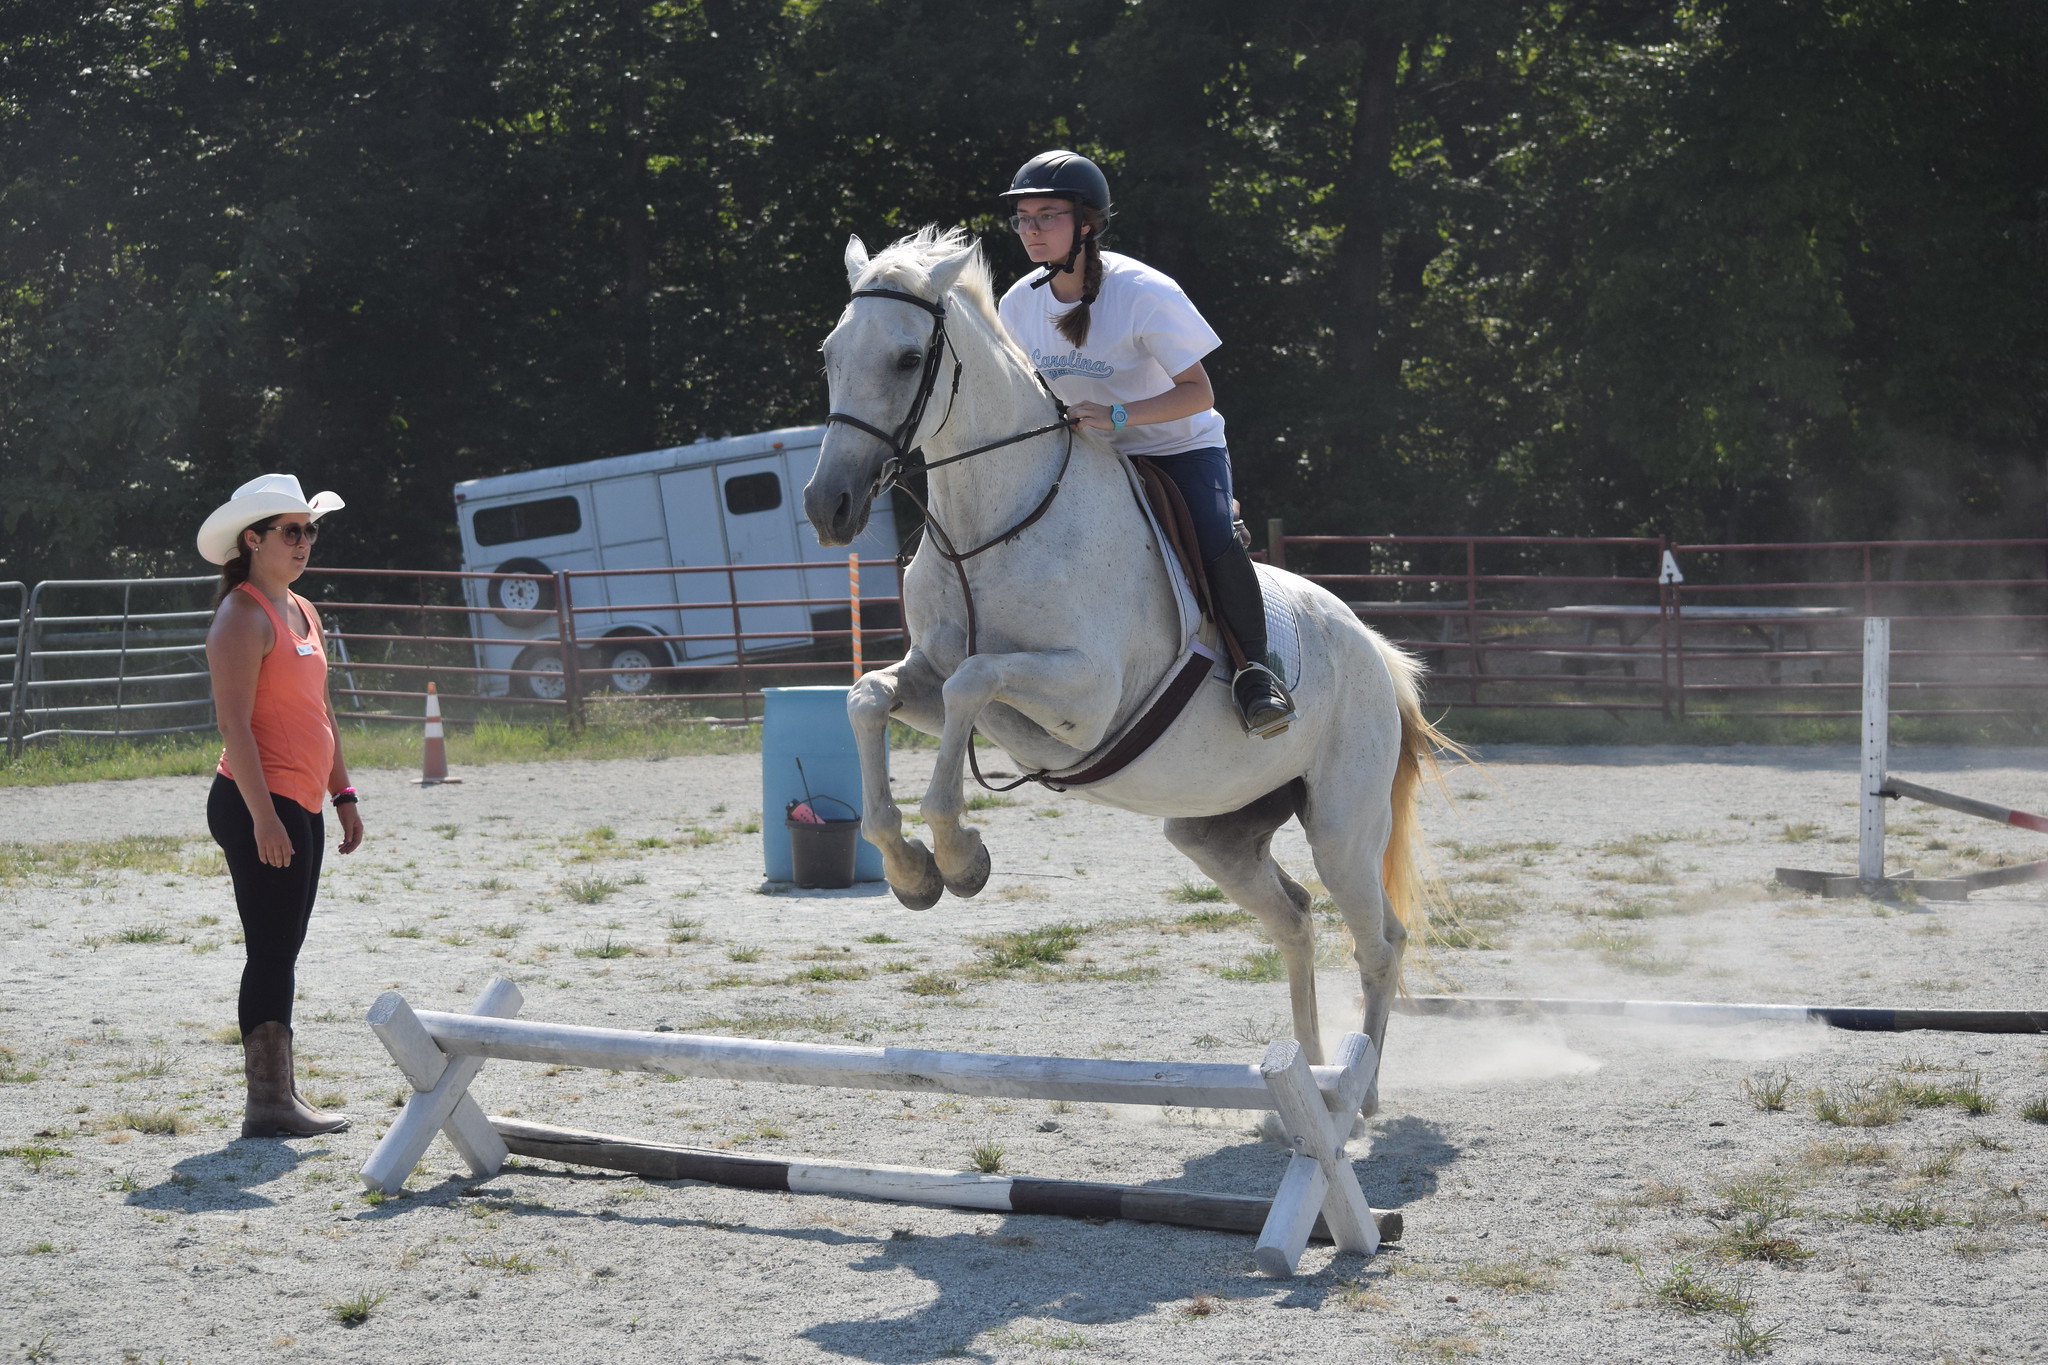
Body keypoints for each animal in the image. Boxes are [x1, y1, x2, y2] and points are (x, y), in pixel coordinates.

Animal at [803, 226, 1450, 1070]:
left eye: (909, 359)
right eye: (830, 353)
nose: (828, 506)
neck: (994, 523)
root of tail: (1378, 650)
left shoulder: (1085, 698)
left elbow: (972, 682)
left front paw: (959, 854)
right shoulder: (928, 675)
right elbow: (871, 696)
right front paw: (912, 871)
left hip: (1343, 826)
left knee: (1380, 942)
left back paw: (1357, 1086)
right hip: (1215, 835)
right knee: (1295, 916)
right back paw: (1304, 1073)